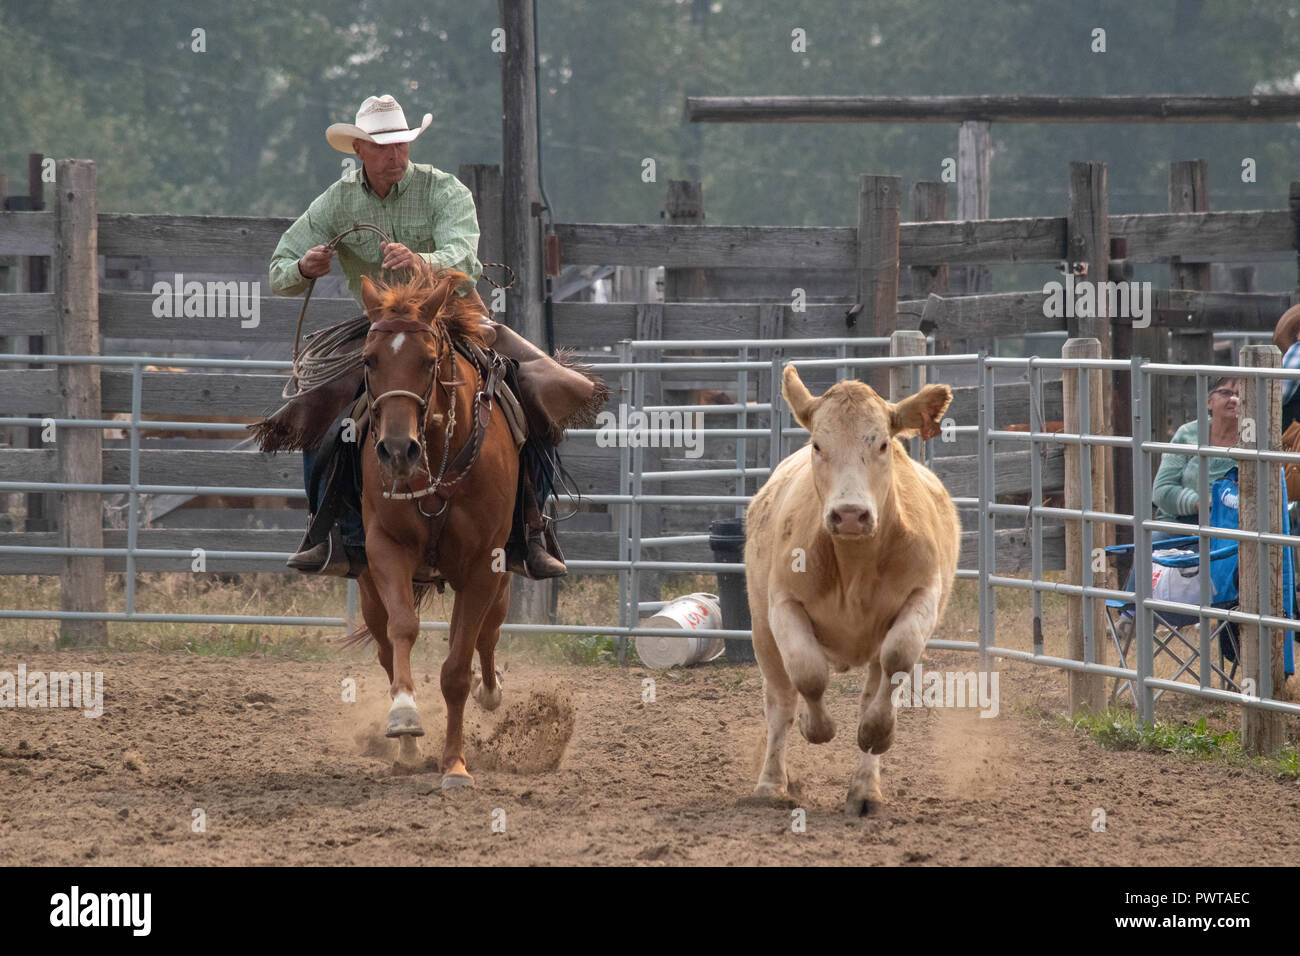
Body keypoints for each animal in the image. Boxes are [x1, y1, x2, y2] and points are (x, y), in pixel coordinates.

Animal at [744, 365, 960, 816]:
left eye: (882, 443)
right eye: (817, 444)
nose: (848, 515)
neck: (854, 564)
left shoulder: (923, 595)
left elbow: (897, 660)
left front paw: (877, 733)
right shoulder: (782, 604)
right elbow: (807, 673)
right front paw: (816, 726)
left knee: (875, 685)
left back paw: (864, 790)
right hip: (760, 629)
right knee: (779, 701)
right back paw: (771, 782)